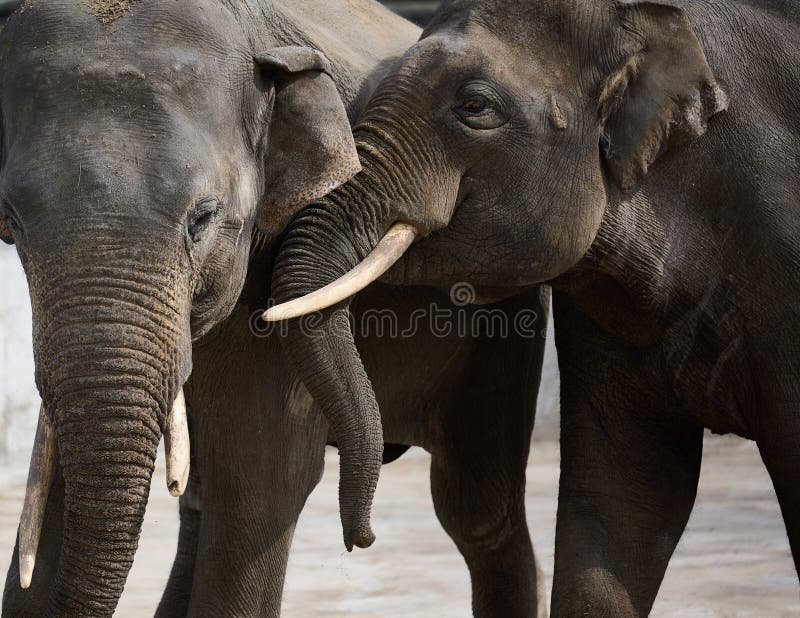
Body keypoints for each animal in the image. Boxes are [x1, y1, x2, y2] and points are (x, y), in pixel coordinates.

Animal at [0, 0, 551, 616]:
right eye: (12, 220)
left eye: (202, 219)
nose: (361, 539)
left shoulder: (274, 266)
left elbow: (260, 483)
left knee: (476, 510)